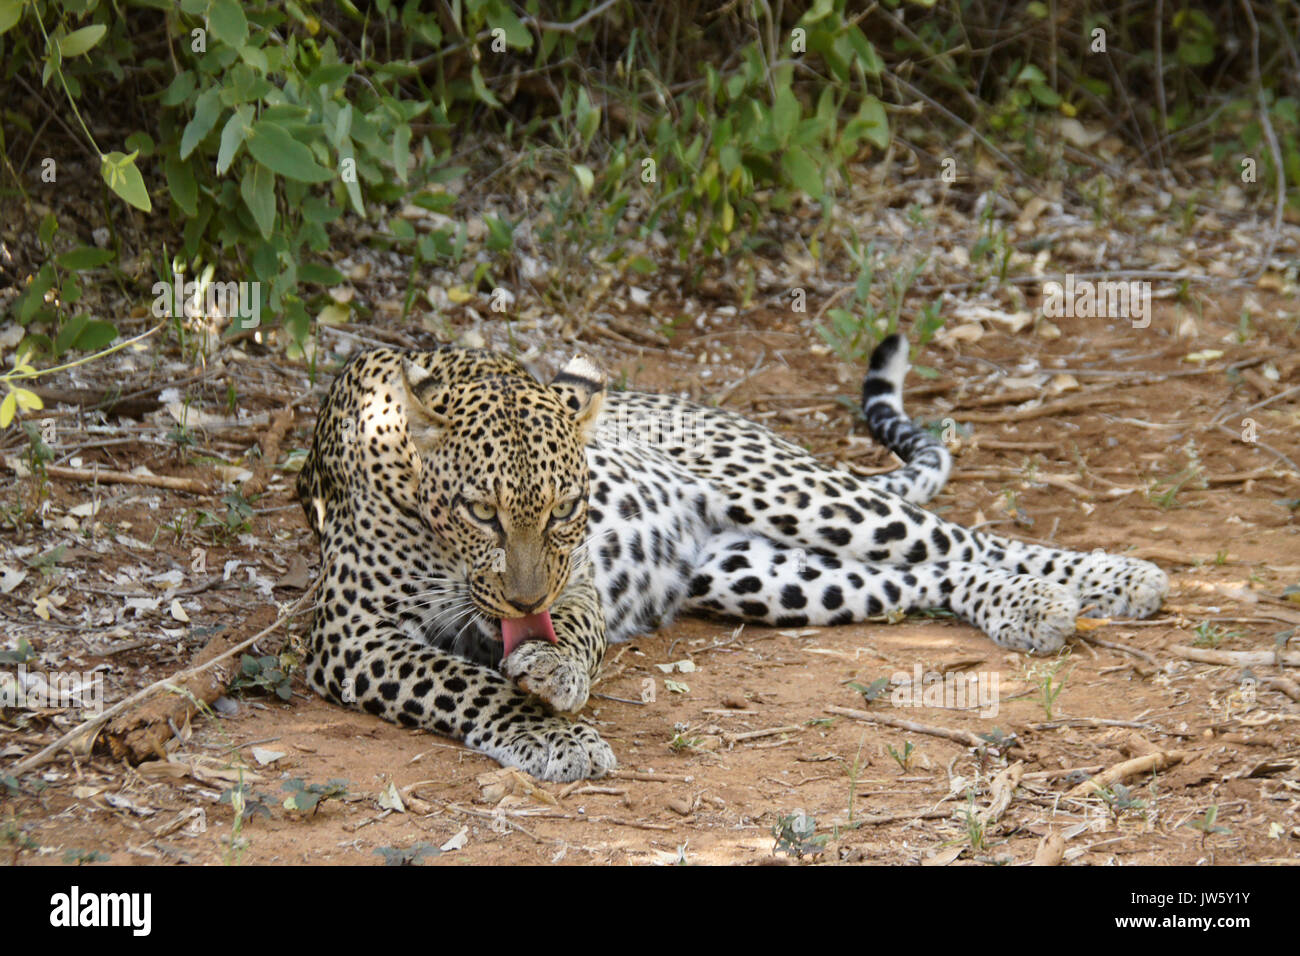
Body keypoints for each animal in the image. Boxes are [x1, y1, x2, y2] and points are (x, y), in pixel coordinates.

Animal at [296, 334, 1168, 781]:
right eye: (481, 511)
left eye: (567, 510)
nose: (522, 603)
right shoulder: (351, 636)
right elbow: (460, 680)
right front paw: (552, 731)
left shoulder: (576, 580)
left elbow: (571, 633)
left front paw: (556, 679)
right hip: (760, 572)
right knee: (923, 574)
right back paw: (1030, 606)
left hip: (795, 494)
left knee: (963, 538)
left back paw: (1112, 579)